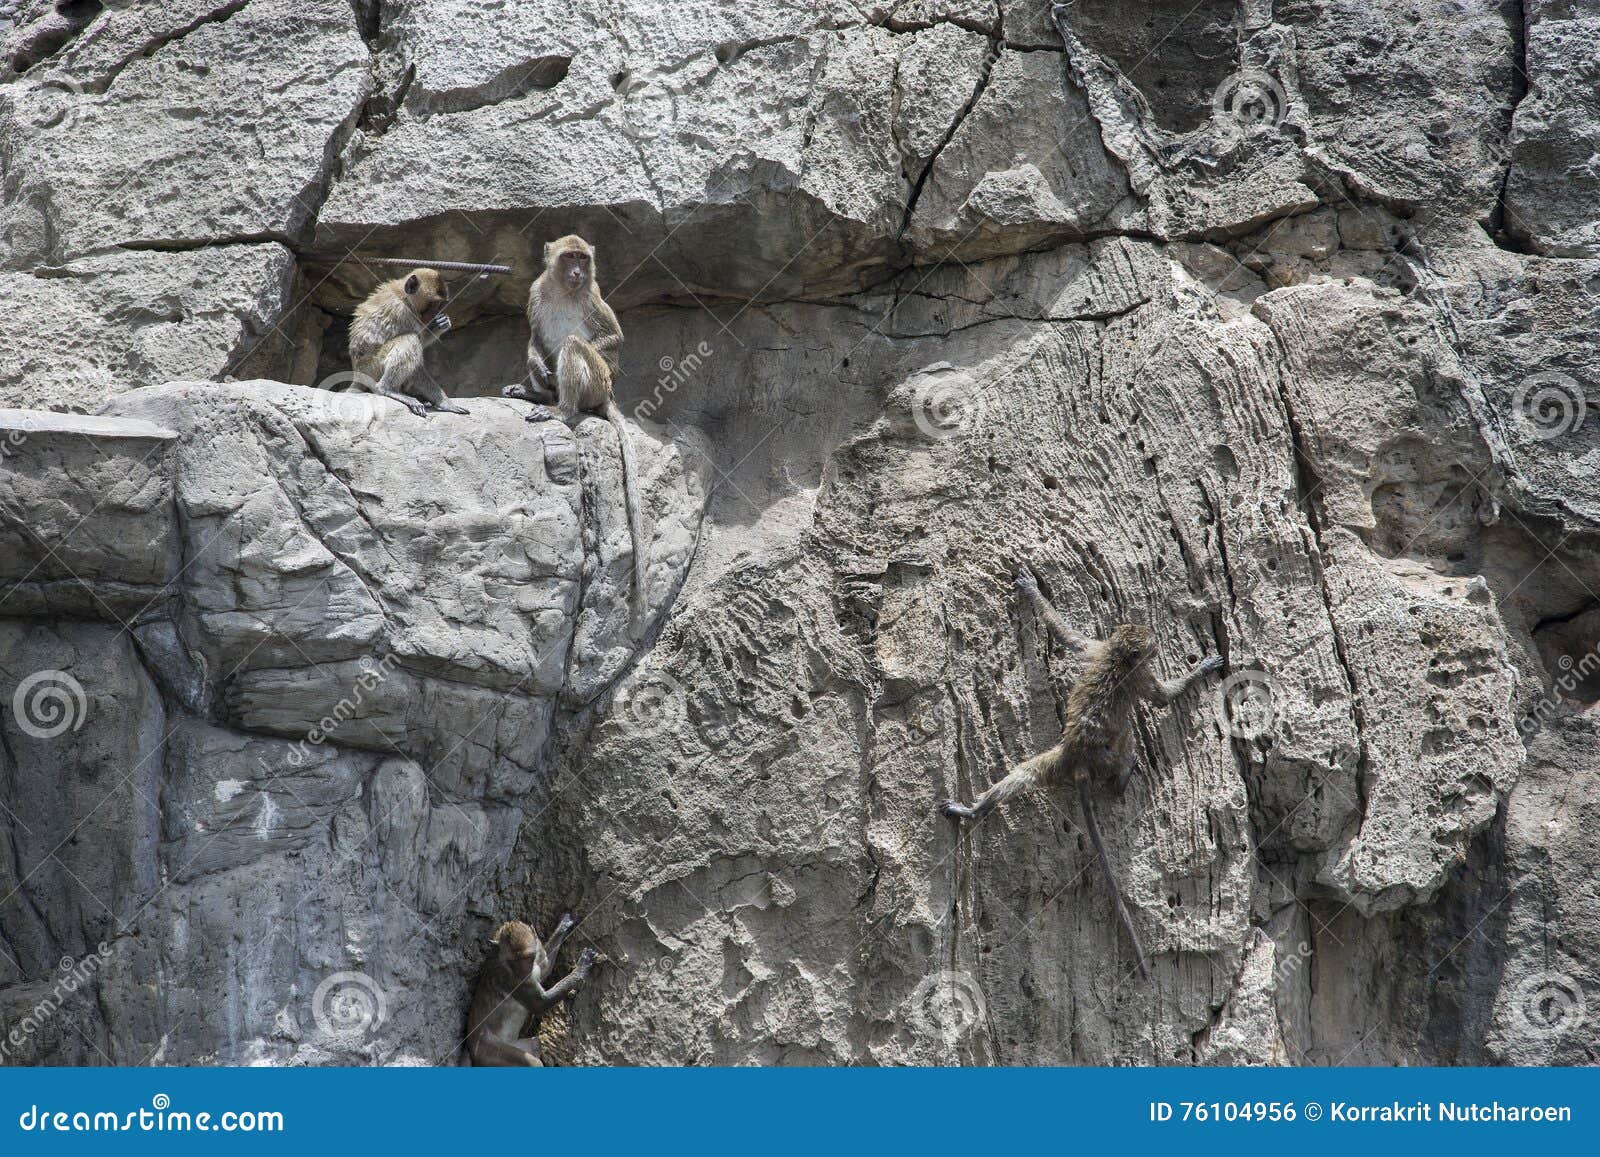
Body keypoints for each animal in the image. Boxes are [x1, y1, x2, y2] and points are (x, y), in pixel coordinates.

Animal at [347, 268, 469, 418]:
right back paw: (388, 389)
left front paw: (440, 324)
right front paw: (444, 402)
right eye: (433, 304)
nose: (435, 313)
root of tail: (357, 373)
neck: (403, 295)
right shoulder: (405, 314)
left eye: (440, 304)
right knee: (411, 339)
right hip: (372, 367)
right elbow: (418, 363)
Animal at [465, 915, 597, 1067]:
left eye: (528, 957)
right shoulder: (513, 981)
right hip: (488, 1052)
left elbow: (544, 968)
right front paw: (580, 970)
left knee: (535, 1045)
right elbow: (539, 1004)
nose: (524, 971)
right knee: (532, 1063)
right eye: (515, 961)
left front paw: (563, 927)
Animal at [503, 235, 647, 635]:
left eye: (583, 258)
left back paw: (562, 409)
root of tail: (605, 396)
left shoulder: (592, 298)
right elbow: (535, 337)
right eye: (569, 257)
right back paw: (537, 393)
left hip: (597, 383)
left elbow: (612, 339)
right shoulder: (537, 290)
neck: (565, 291)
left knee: (572, 346)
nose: (579, 272)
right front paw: (535, 366)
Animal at [938, 565, 1224, 978]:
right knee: (1124, 738)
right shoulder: (1137, 674)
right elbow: (1161, 698)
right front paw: (1199, 670)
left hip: (1054, 761)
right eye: (1151, 645)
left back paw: (974, 809)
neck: (1118, 659)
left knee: (1019, 778)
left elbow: (1066, 635)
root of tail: (1079, 763)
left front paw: (1032, 594)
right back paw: (1122, 777)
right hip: (1106, 753)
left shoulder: (1094, 648)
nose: (1156, 643)